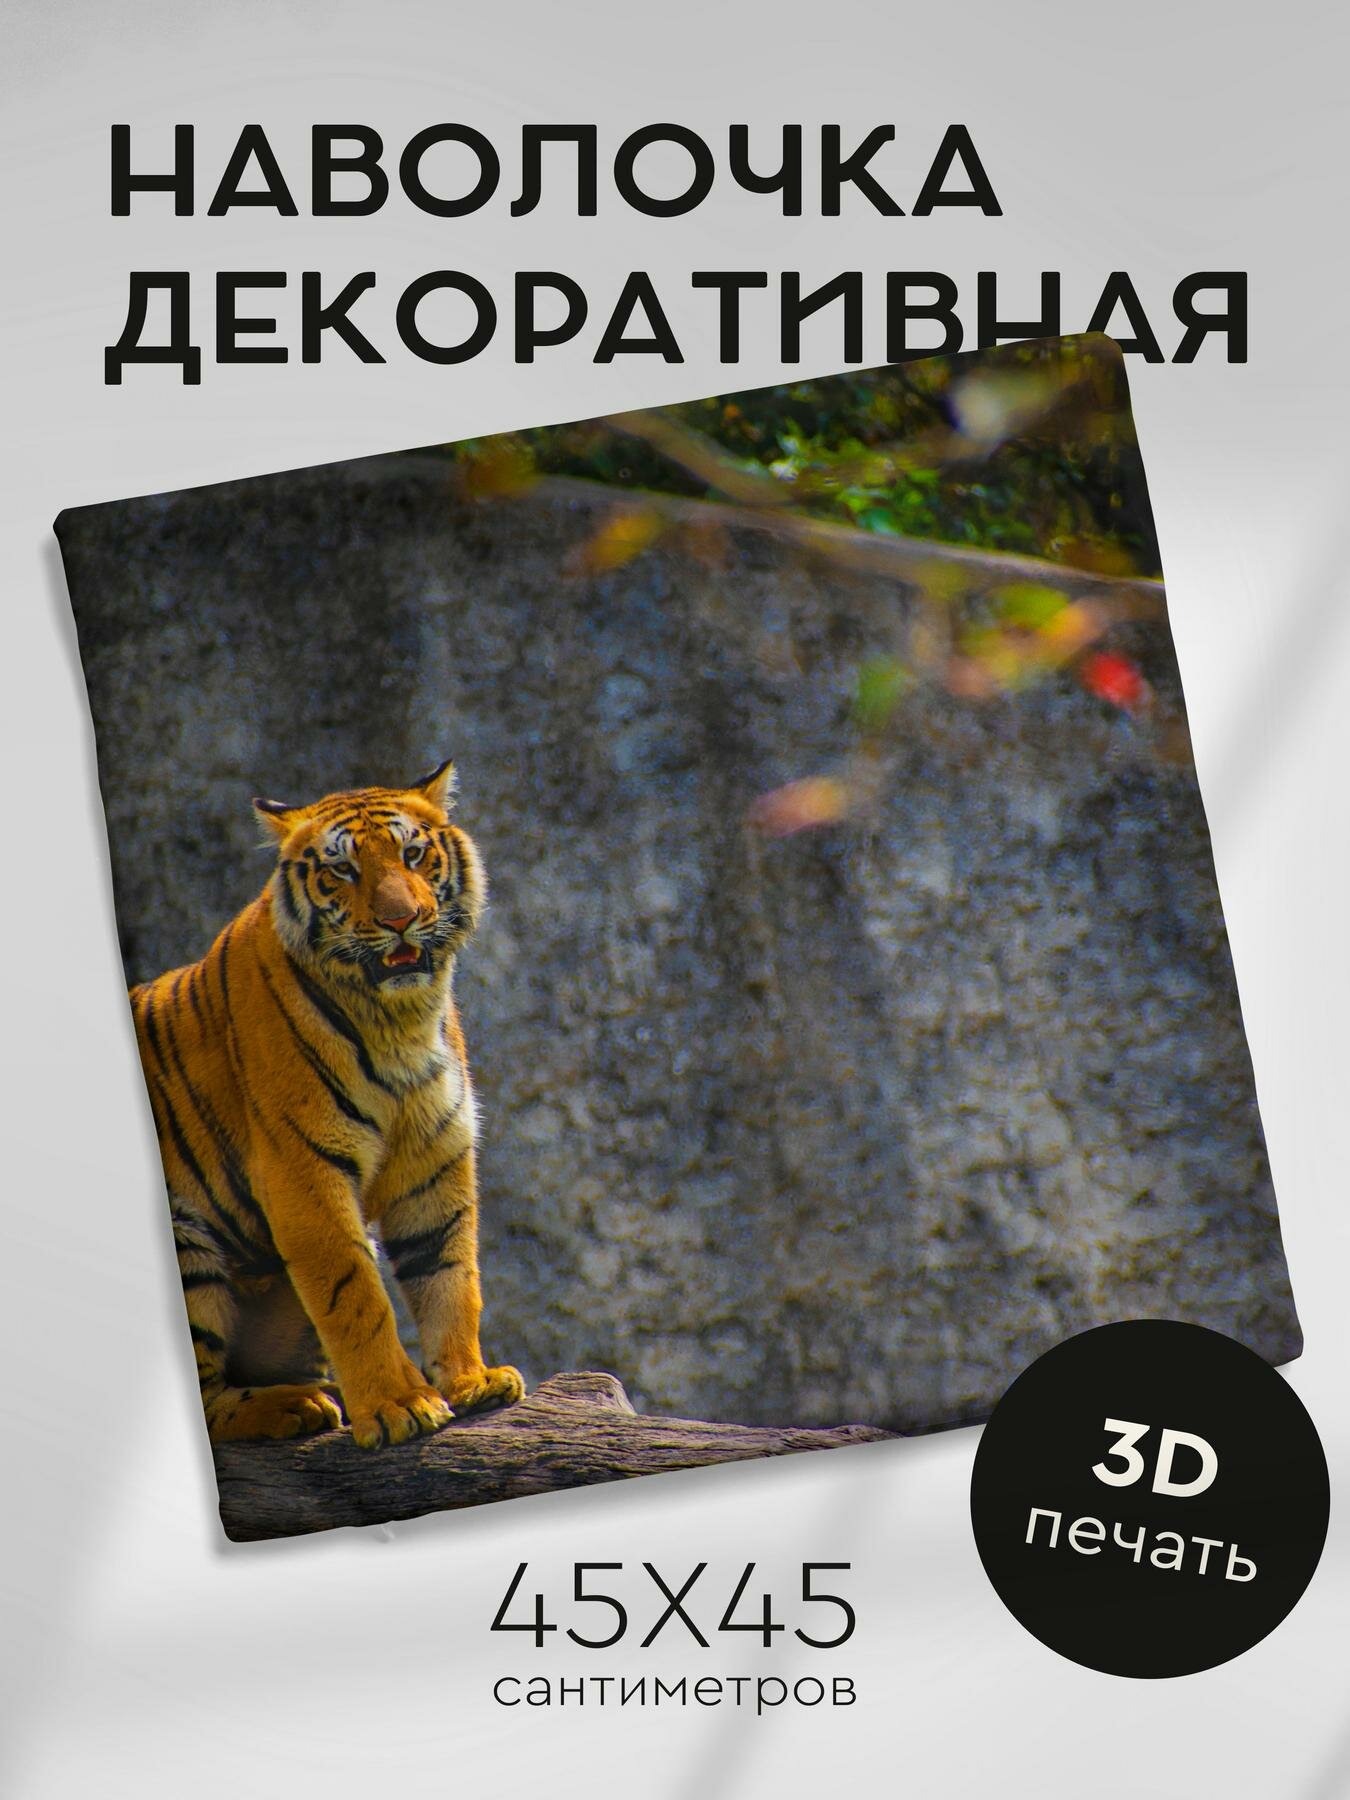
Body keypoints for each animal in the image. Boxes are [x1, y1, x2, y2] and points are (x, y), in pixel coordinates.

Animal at [129, 759, 524, 1449]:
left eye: (413, 854)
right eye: (343, 870)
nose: (400, 919)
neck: (400, 1019)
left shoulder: (434, 1158)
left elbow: (451, 1273)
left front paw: (472, 1380)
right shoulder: (302, 1167)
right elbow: (354, 1291)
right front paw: (399, 1406)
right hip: (190, 1252)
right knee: (209, 1402)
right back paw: (297, 1405)